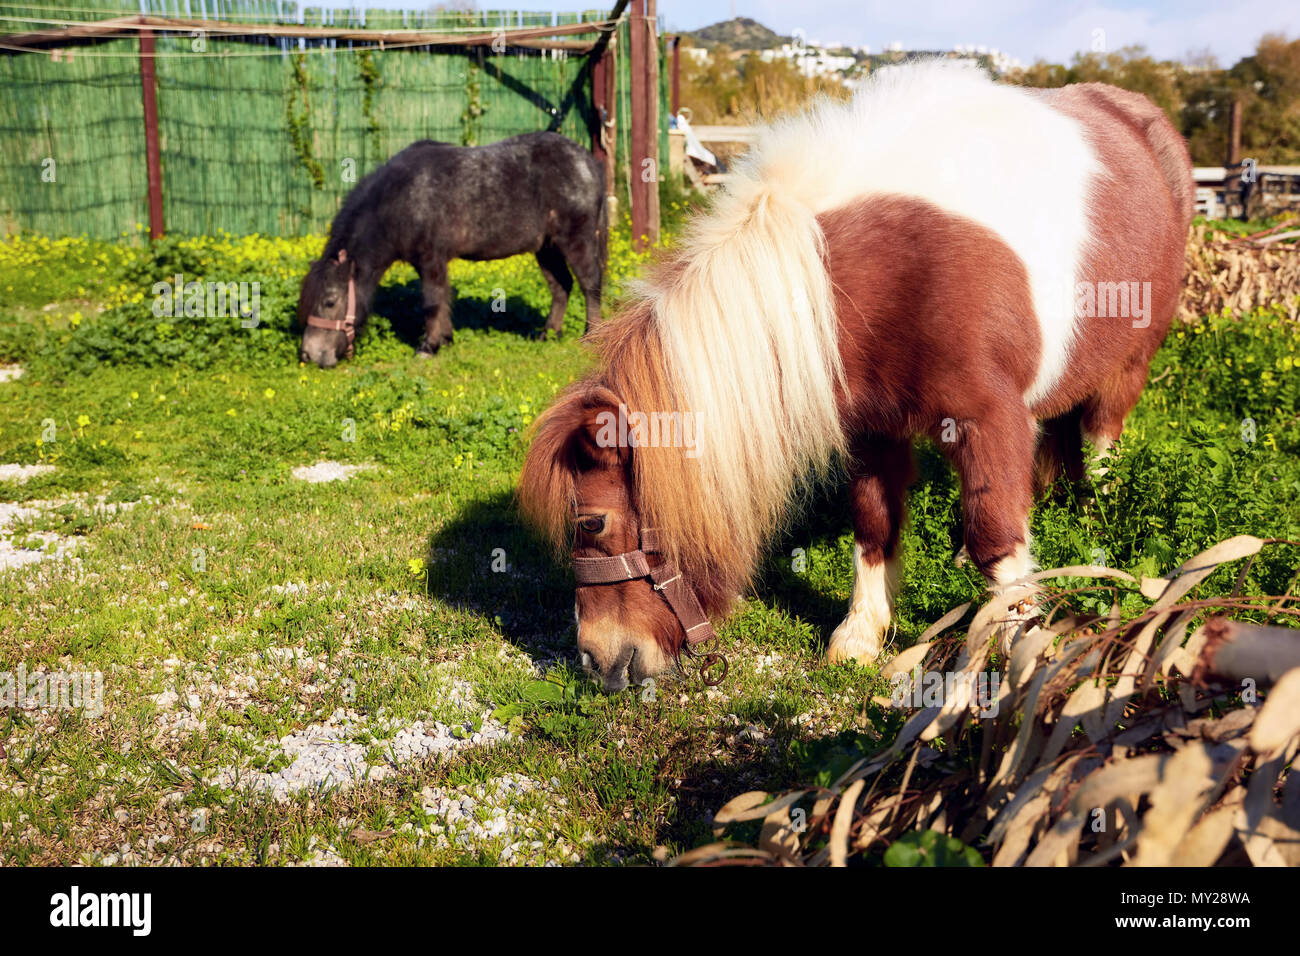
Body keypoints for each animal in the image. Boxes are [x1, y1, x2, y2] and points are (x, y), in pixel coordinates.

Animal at [298, 131, 607, 368]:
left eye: (329, 302)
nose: (309, 355)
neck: (402, 198)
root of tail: (587, 161)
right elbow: (442, 299)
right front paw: (445, 340)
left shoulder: (431, 259)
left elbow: (432, 301)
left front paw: (428, 346)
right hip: (547, 248)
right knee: (561, 286)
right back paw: (549, 334)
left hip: (575, 239)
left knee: (590, 284)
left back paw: (591, 336)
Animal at [518, 60, 1194, 693]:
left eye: (590, 523)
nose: (597, 660)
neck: (902, 267)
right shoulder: (872, 427)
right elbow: (874, 524)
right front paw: (860, 637)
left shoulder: (991, 419)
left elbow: (996, 537)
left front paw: (1018, 640)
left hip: (1128, 366)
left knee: (1099, 444)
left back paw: (1094, 517)